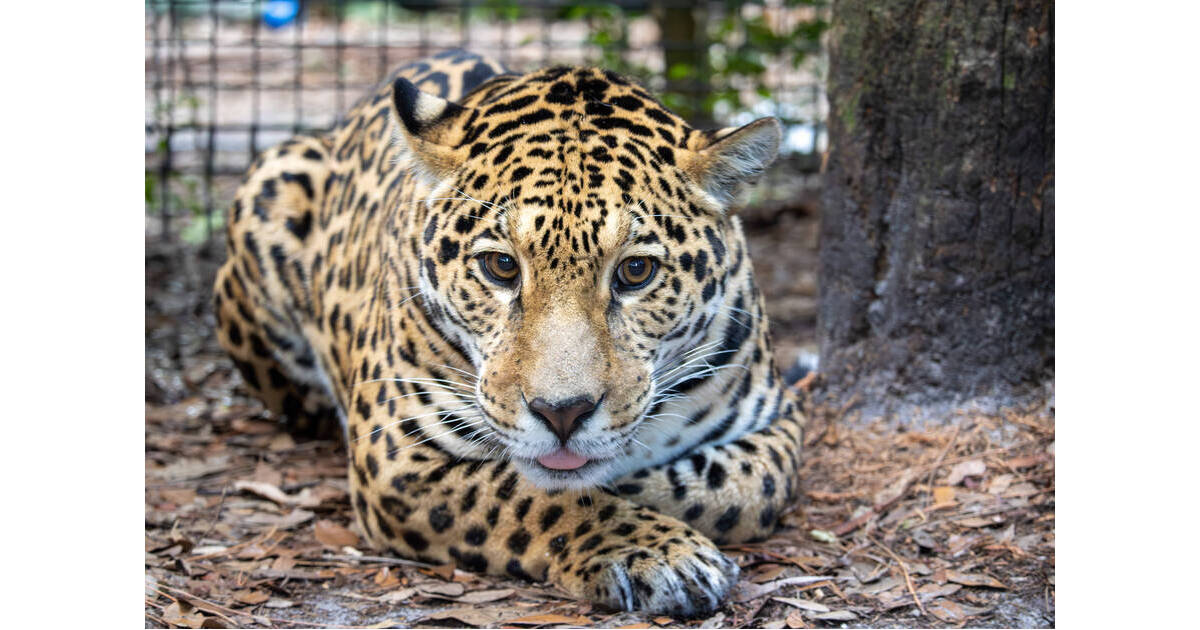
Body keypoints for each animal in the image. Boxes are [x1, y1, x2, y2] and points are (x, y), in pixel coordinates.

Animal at [213, 50, 805, 616]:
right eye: (500, 267)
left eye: (636, 271)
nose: (562, 414)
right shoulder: (396, 457)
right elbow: (536, 496)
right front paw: (659, 553)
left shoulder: (780, 424)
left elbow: (736, 488)